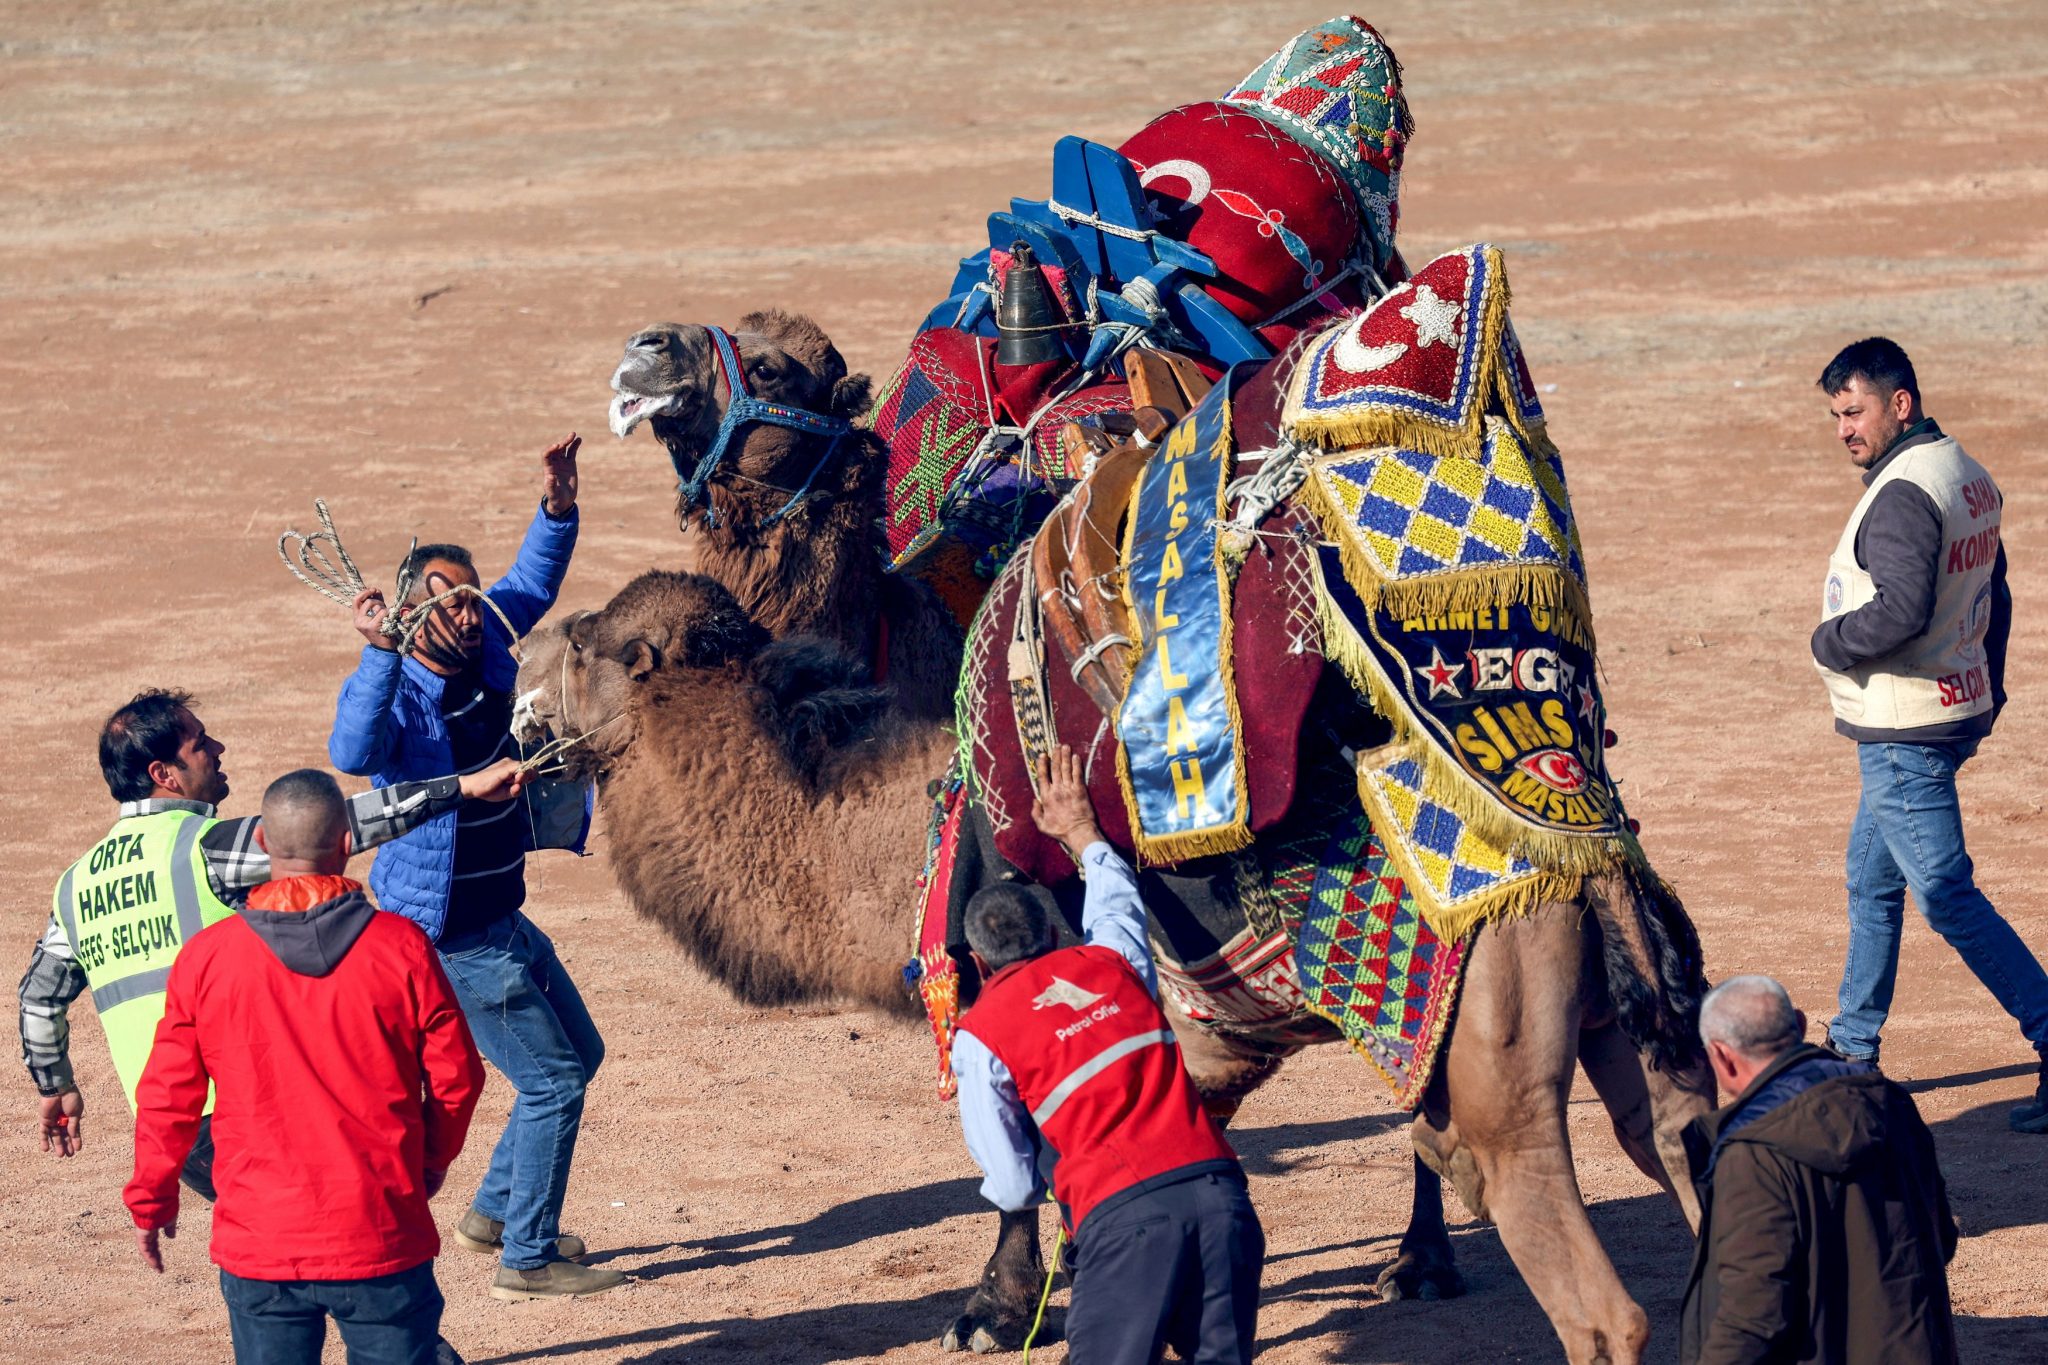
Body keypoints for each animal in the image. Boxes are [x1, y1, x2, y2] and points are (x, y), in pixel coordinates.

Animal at [516, 553, 1717, 1365]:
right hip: (1629, 1031)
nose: (516, 658)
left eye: (582, 643)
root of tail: (1588, 851)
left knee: (1587, 1291)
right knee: (1675, 1147)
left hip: (1495, 1056)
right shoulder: (1197, 1039)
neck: (900, 839)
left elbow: (1019, 1171)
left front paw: (994, 1312)